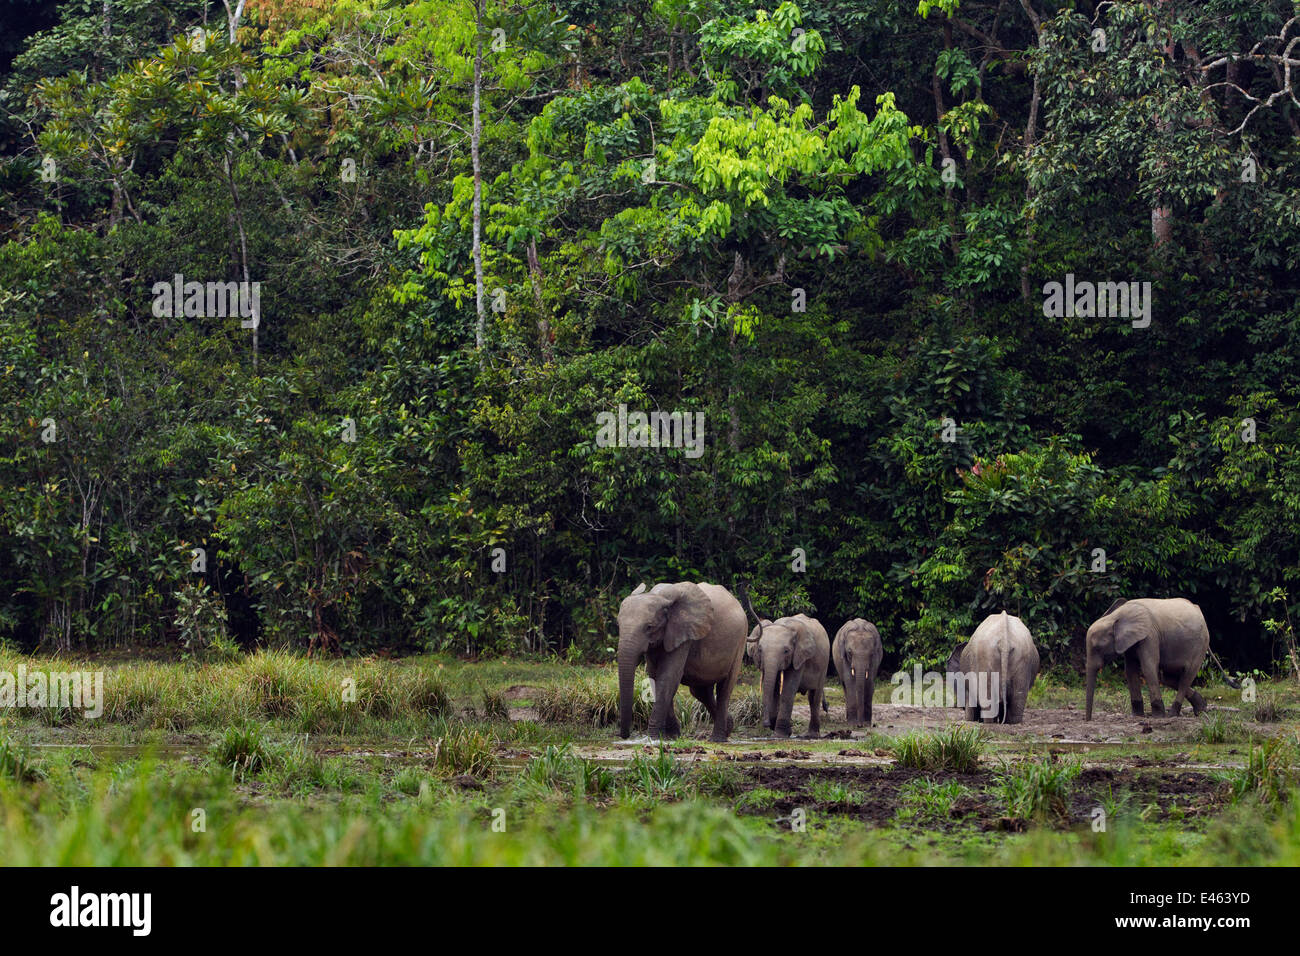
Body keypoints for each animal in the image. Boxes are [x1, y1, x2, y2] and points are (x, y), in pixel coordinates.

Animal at [617, 582, 747, 741]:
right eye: (618, 625)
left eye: (649, 627)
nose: (625, 736)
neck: (660, 597)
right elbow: (654, 676)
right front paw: (671, 736)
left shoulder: (684, 634)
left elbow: (668, 676)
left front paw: (654, 738)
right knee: (701, 692)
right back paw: (729, 727)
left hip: (740, 641)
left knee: (724, 688)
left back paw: (717, 739)